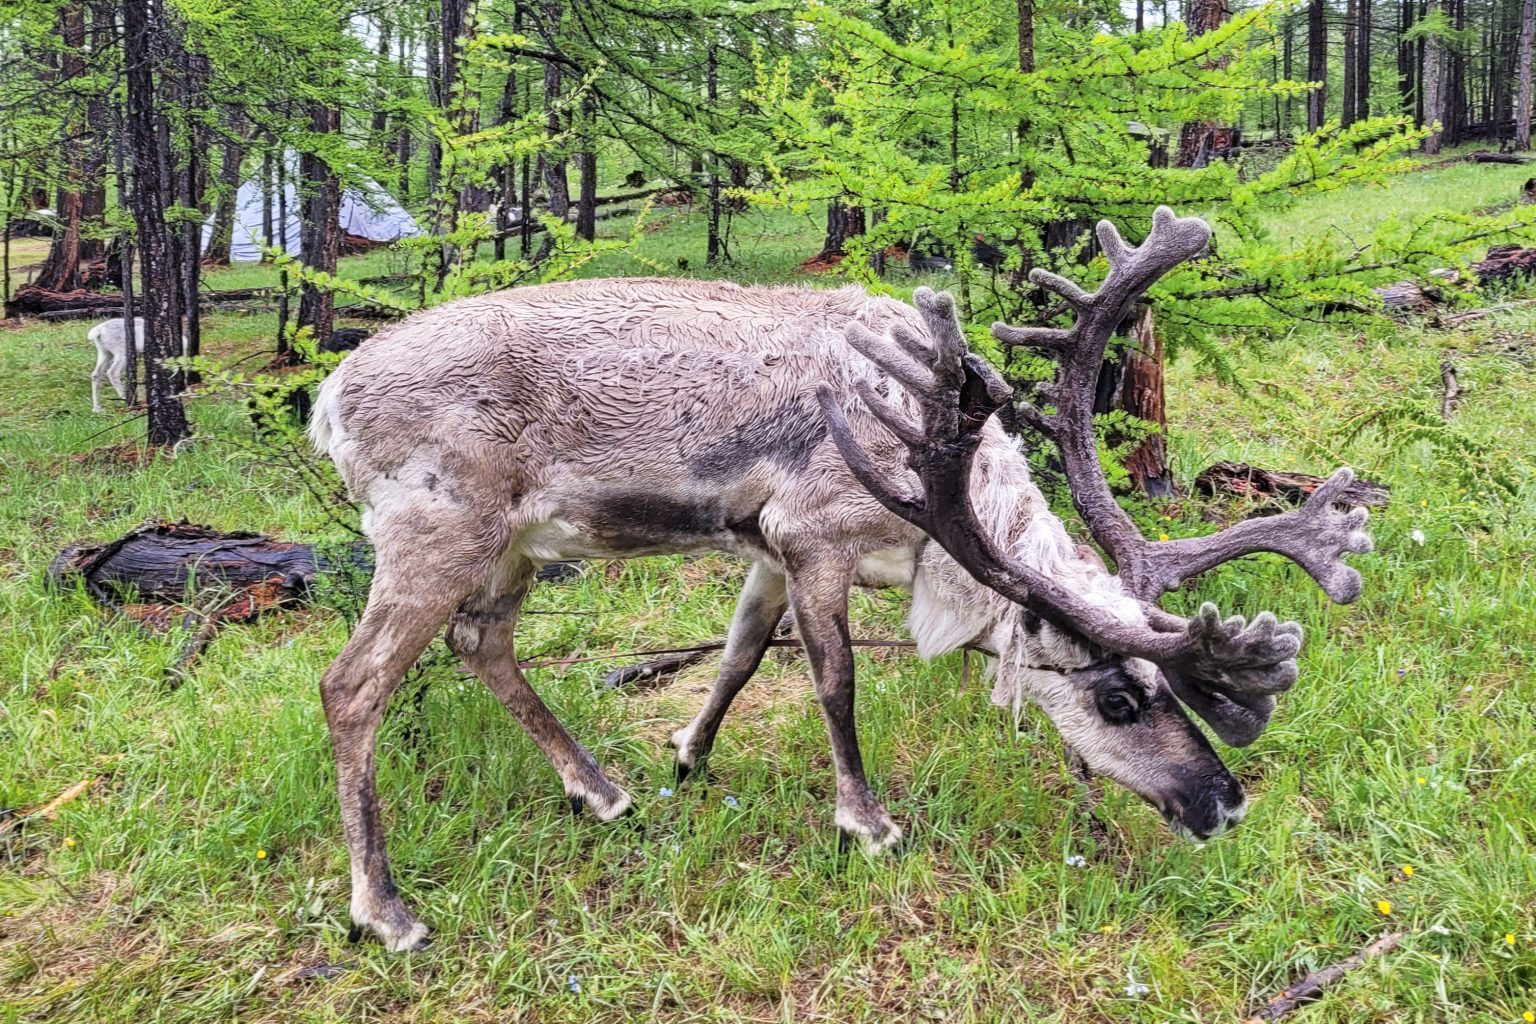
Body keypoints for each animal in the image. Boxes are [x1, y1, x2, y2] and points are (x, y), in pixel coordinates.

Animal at [309, 207, 1372, 951]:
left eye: (1170, 691)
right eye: (1116, 698)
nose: (1226, 803)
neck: (937, 517)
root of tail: (329, 399)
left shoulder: (766, 551)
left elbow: (740, 655)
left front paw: (687, 751)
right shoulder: (813, 534)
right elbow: (835, 679)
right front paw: (868, 821)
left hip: (512, 547)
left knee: (481, 642)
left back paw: (600, 790)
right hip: (436, 532)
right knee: (352, 684)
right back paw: (387, 910)